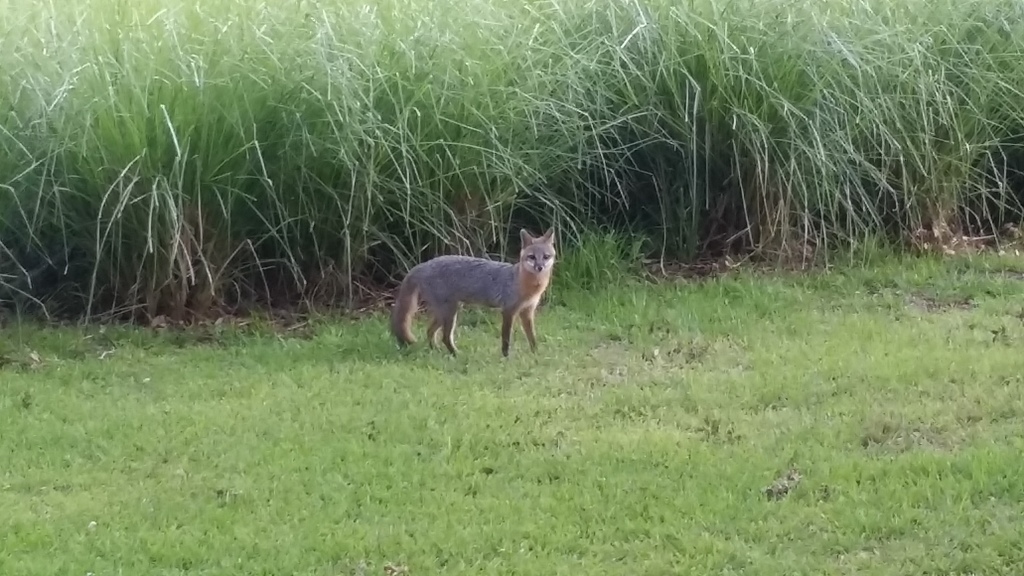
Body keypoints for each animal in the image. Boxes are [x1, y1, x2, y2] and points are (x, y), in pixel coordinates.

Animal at [389, 227, 557, 357]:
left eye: (546, 257)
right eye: (532, 257)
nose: (540, 267)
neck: (524, 283)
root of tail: (424, 264)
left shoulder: (527, 312)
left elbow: (532, 336)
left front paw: (536, 353)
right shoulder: (509, 311)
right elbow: (506, 338)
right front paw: (506, 356)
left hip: (446, 312)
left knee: (430, 331)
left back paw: (436, 351)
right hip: (450, 313)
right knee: (445, 337)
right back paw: (456, 354)